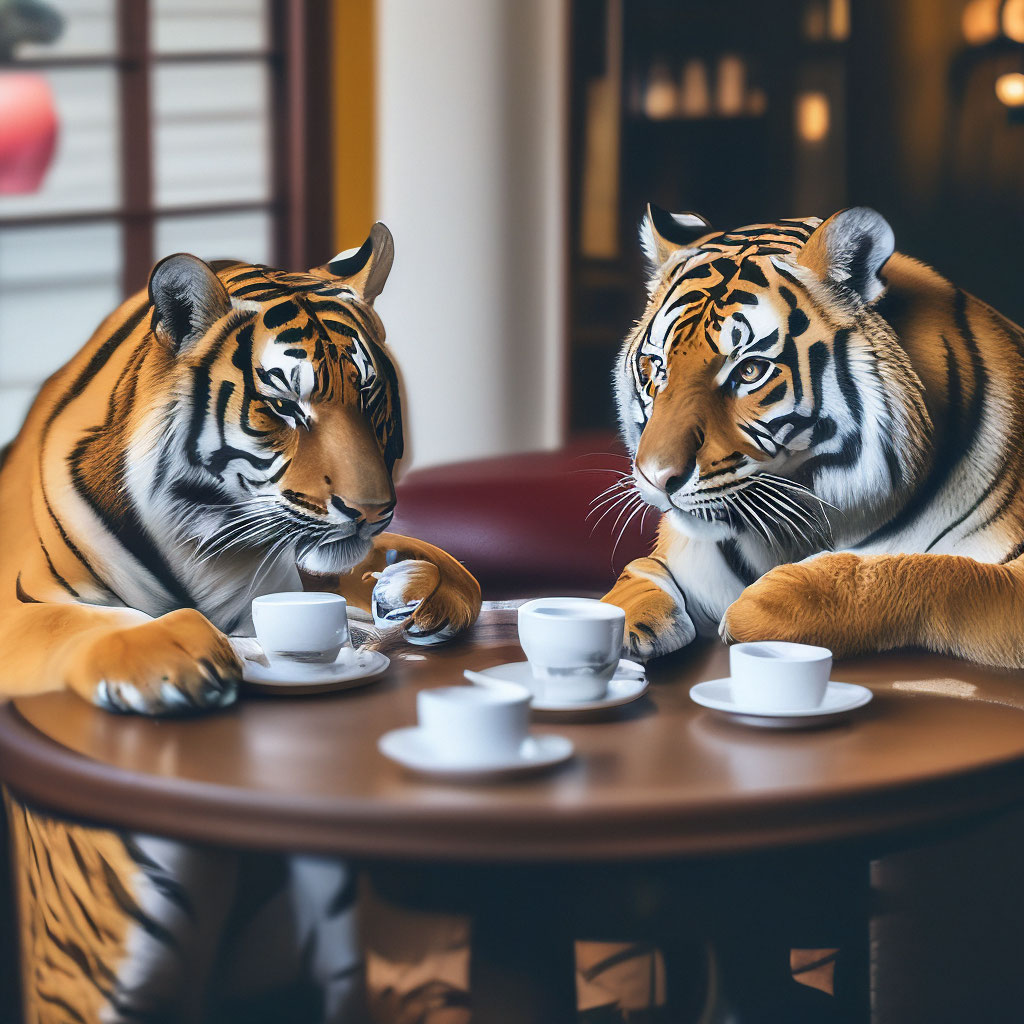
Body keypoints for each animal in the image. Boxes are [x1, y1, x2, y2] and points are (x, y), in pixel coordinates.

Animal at [0, 223, 481, 1021]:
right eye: (285, 408)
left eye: (369, 393)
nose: (372, 510)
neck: (215, 550)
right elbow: (68, 622)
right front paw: (170, 648)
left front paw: (420, 588)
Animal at [603, 203, 1024, 670]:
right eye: (656, 366)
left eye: (750, 371)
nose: (657, 479)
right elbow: (638, 571)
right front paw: (628, 621)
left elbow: (940, 573)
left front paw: (759, 603)